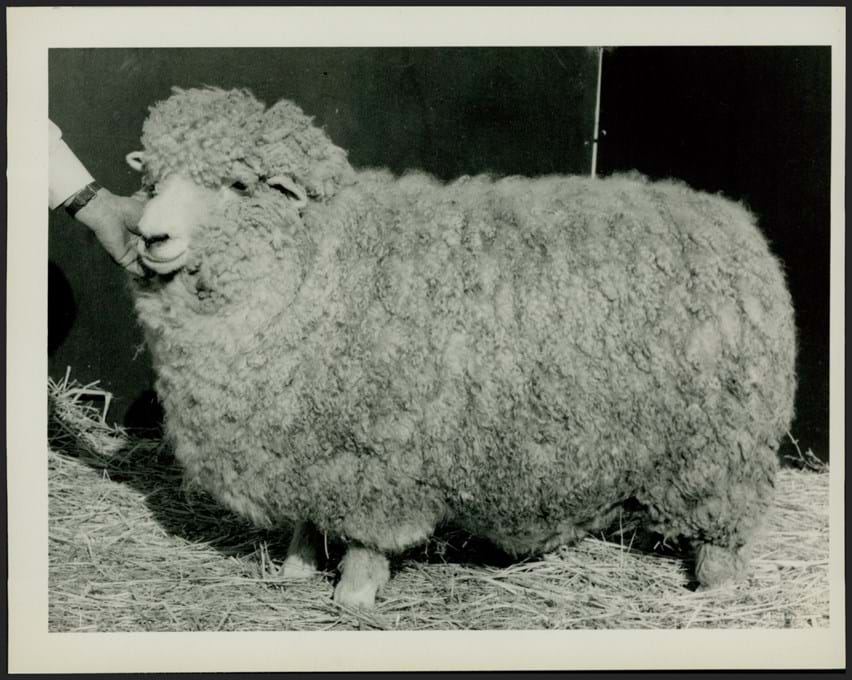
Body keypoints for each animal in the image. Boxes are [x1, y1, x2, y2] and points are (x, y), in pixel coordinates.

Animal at [126, 87, 797, 608]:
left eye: (238, 184)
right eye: (151, 180)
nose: (149, 236)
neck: (316, 264)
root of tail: (736, 222)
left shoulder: (379, 460)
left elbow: (366, 542)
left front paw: (354, 595)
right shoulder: (311, 451)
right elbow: (308, 522)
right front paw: (295, 569)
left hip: (719, 448)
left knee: (721, 528)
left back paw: (716, 588)